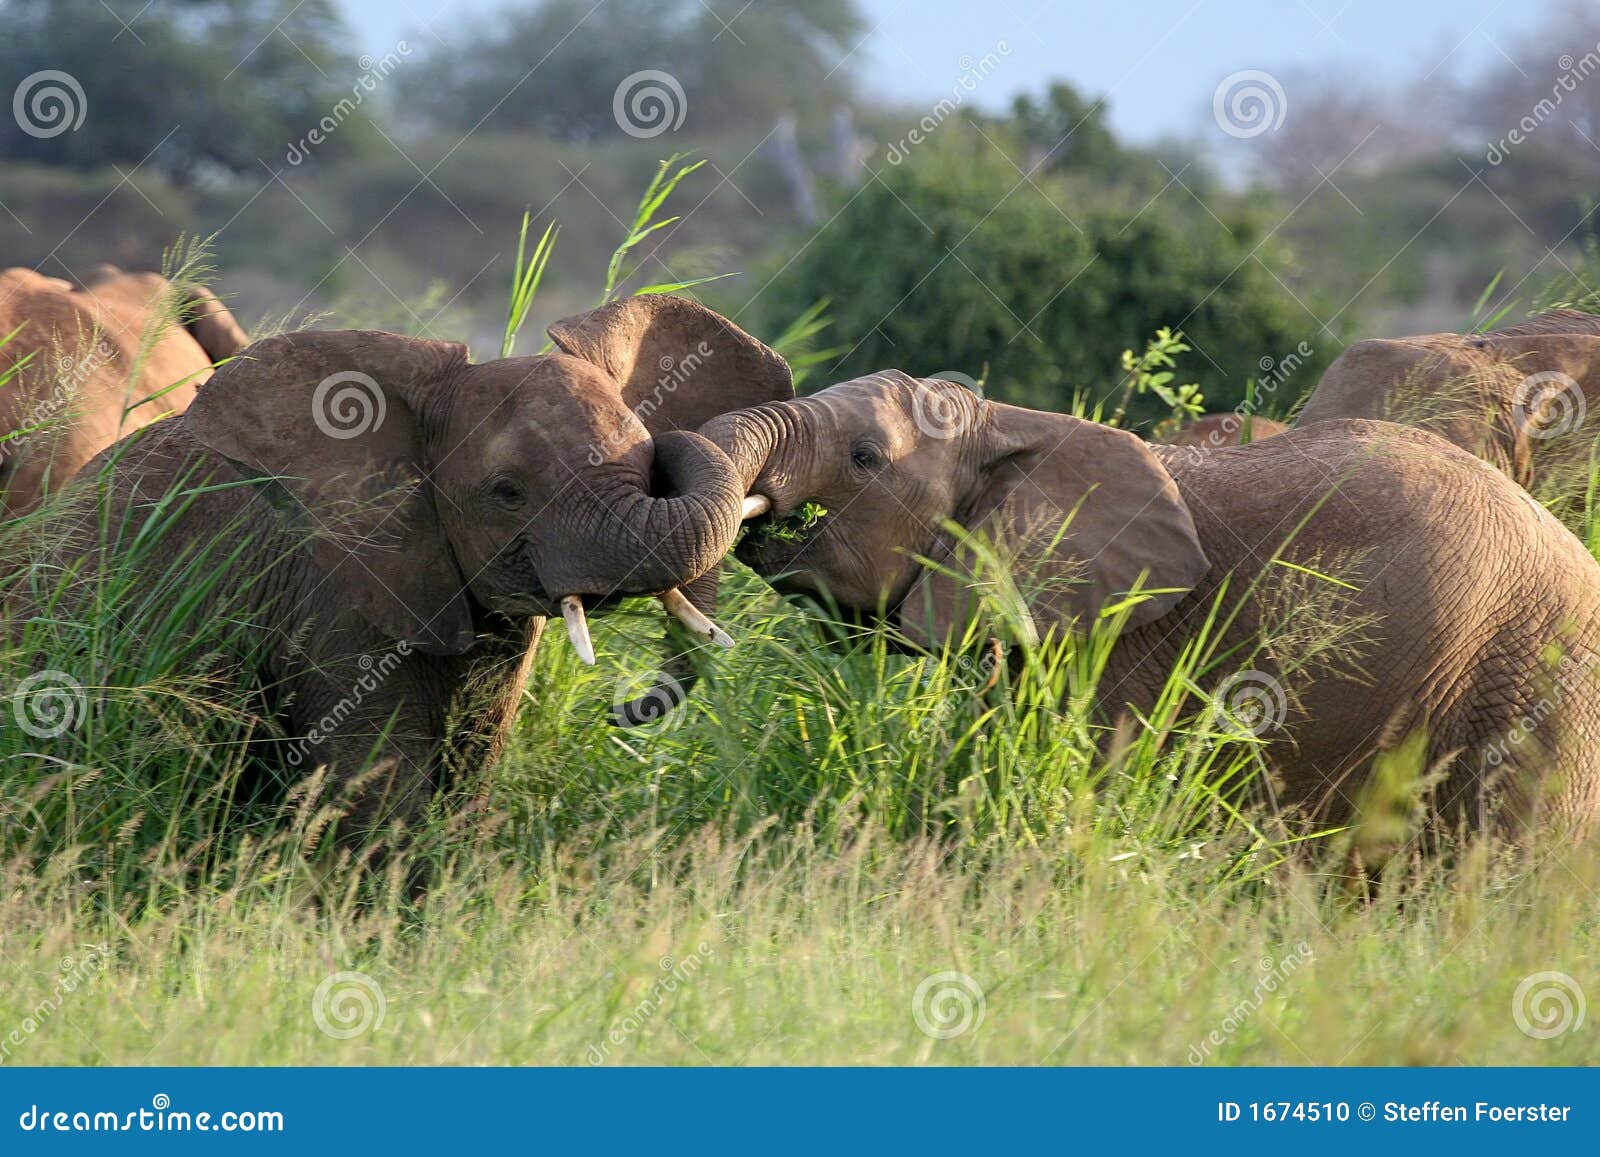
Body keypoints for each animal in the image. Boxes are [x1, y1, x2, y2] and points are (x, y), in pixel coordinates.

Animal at [14, 294, 792, 839]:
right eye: (507, 492)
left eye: (647, 454)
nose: (623, 709)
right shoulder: (335, 587)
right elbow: (379, 777)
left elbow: (476, 758)